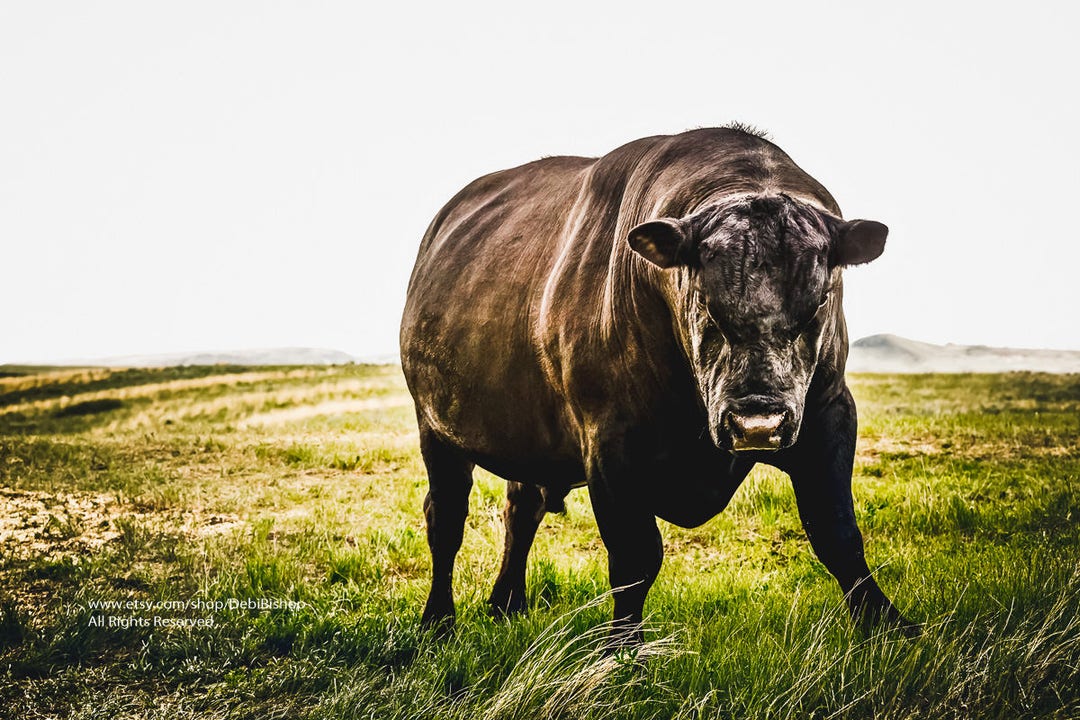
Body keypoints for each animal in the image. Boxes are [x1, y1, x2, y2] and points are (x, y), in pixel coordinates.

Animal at [399, 126, 914, 643]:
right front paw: (620, 649)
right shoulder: (610, 443)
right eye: (704, 299)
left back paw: (507, 602)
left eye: (821, 298)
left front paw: (889, 624)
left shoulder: (828, 413)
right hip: (435, 428)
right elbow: (635, 557)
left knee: (520, 509)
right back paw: (438, 621)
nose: (757, 425)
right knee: (445, 518)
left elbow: (838, 533)